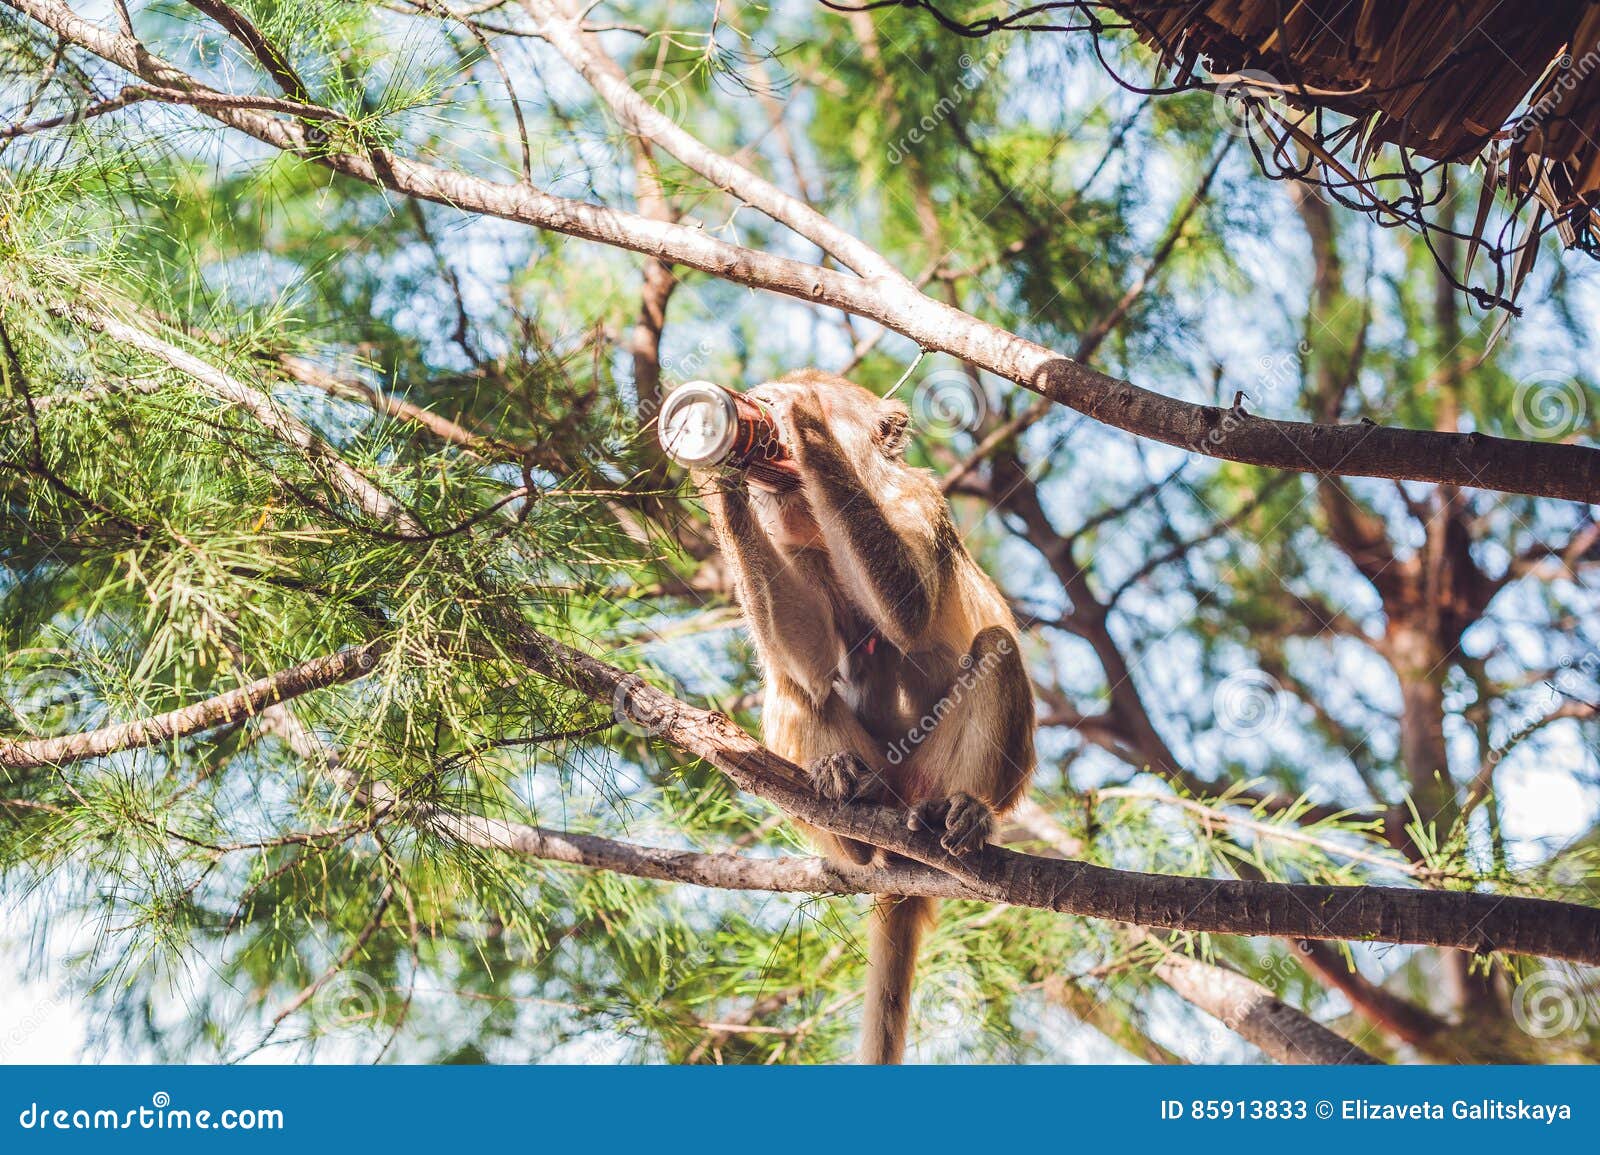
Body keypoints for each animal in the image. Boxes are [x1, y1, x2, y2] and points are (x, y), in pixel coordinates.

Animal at [694, 369, 1035, 1064]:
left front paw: (805, 425)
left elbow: (909, 610)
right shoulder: (796, 543)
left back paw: (965, 814)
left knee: (995, 647)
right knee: (796, 686)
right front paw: (720, 478)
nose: (763, 405)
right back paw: (847, 803)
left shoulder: (920, 502)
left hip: (934, 777)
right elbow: (809, 660)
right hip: (881, 780)